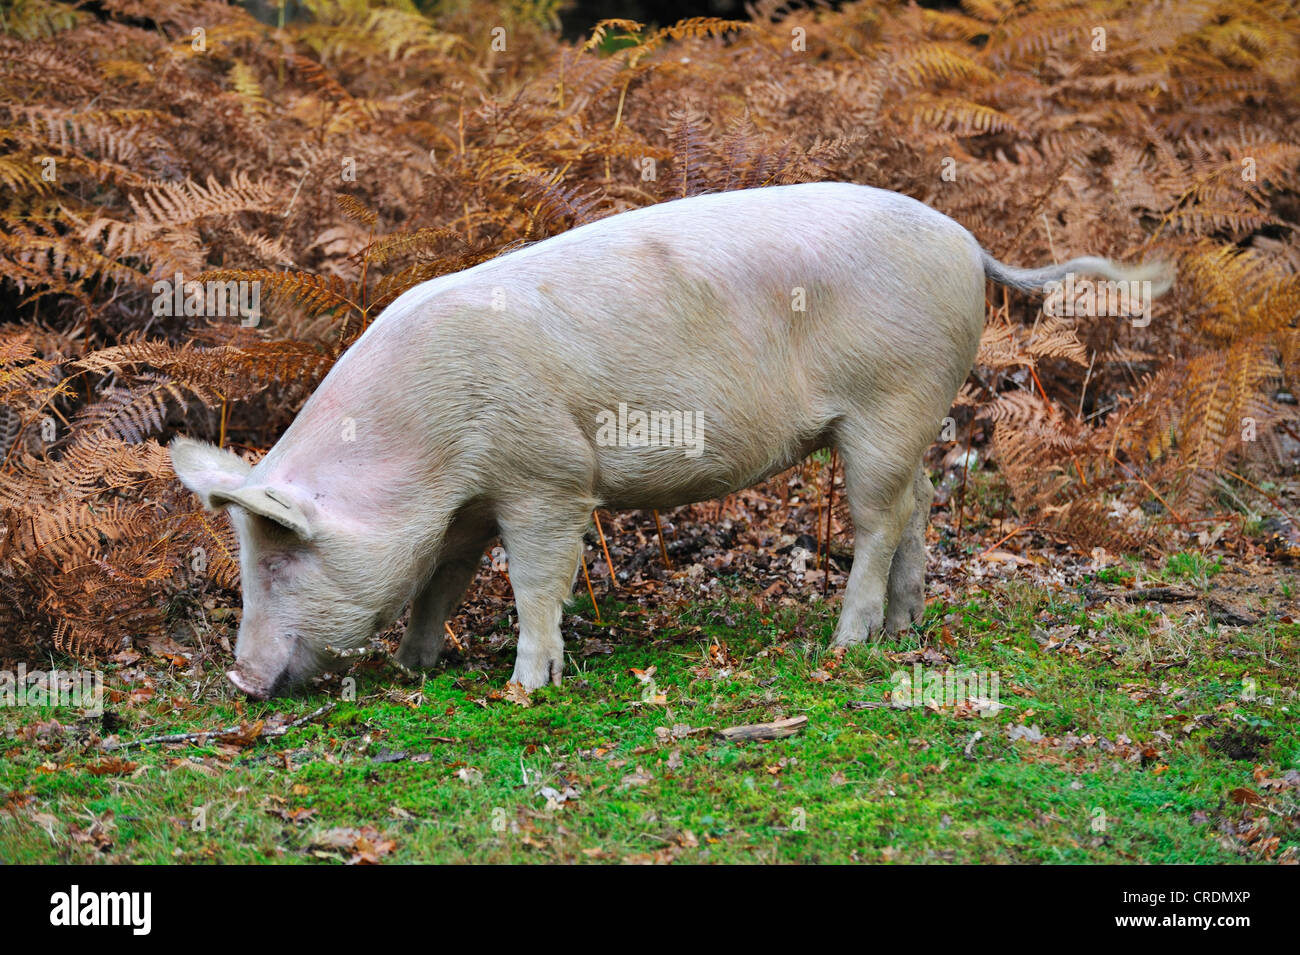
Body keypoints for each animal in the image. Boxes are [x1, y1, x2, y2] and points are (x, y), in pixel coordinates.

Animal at [170, 181, 1171, 697]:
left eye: (281, 557)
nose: (242, 680)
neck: (425, 449)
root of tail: (967, 242)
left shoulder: (547, 479)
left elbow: (535, 582)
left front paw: (528, 683)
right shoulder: (470, 501)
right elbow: (443, 576)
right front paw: (418, 664)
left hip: (889, 402)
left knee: (881, 519)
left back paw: (845, 643)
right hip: (911, 413)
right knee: (922, 504)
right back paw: (905, 627)